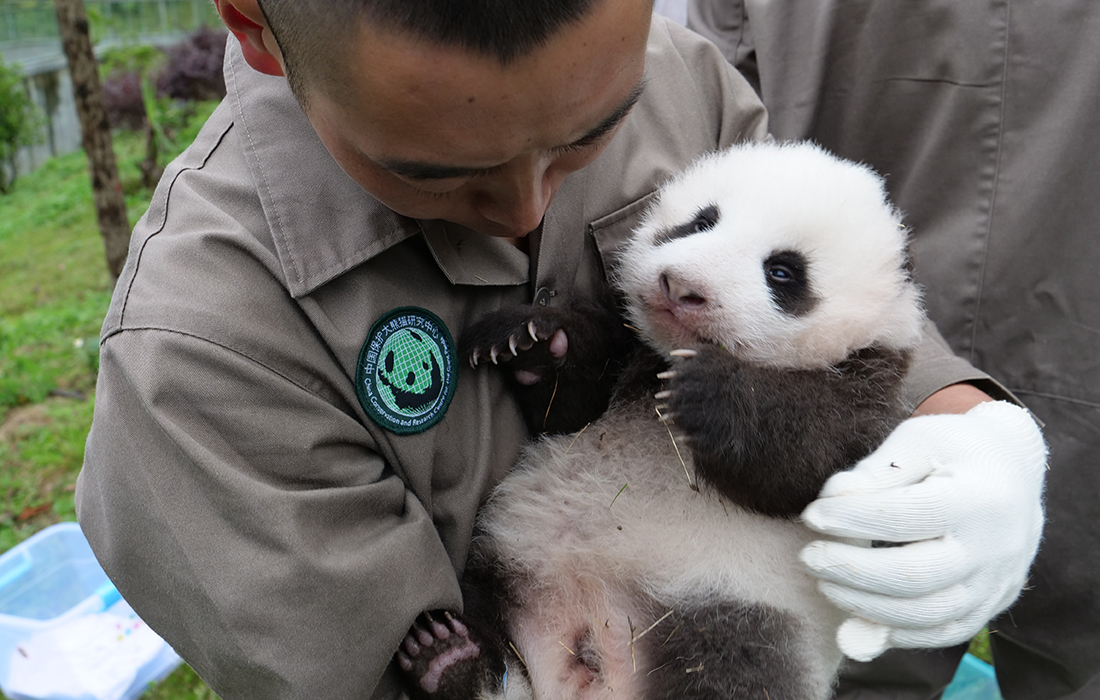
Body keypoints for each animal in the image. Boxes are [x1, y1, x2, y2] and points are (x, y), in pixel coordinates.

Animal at [395, 141, 926, 700]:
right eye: (700, 222)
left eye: (783, 272)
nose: (681, 285)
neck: (668, 356)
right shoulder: (630, 351)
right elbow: (571, 410)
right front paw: (533, 338)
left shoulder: (870, 390)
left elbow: (808, 462)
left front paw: (707, 390)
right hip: (508, 563)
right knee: (492, 626)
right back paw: (448, 657)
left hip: (730, 614)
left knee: (729, 672)